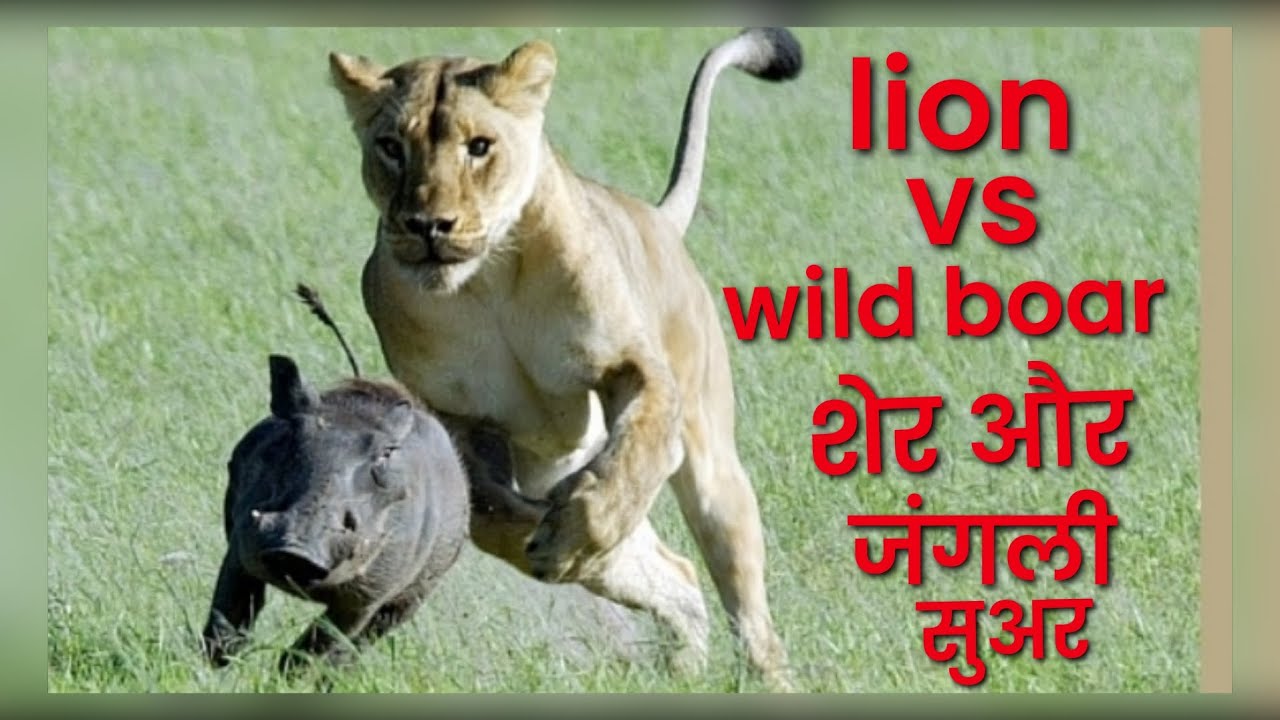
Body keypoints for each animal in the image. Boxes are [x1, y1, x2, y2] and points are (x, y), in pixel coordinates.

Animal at [327, 27, 803, 689]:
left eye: (480, 146)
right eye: (392, 147)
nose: (428, 226)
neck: (486, 281)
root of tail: (656, 217)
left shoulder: (632, 366)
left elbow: (634, 456)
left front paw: (573, 537)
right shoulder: (454, 416)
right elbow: (490, 513)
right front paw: (545, 537)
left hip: (715, 472)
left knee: (743, 597)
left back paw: (768, 676)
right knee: (674, 571)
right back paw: (679, 655)